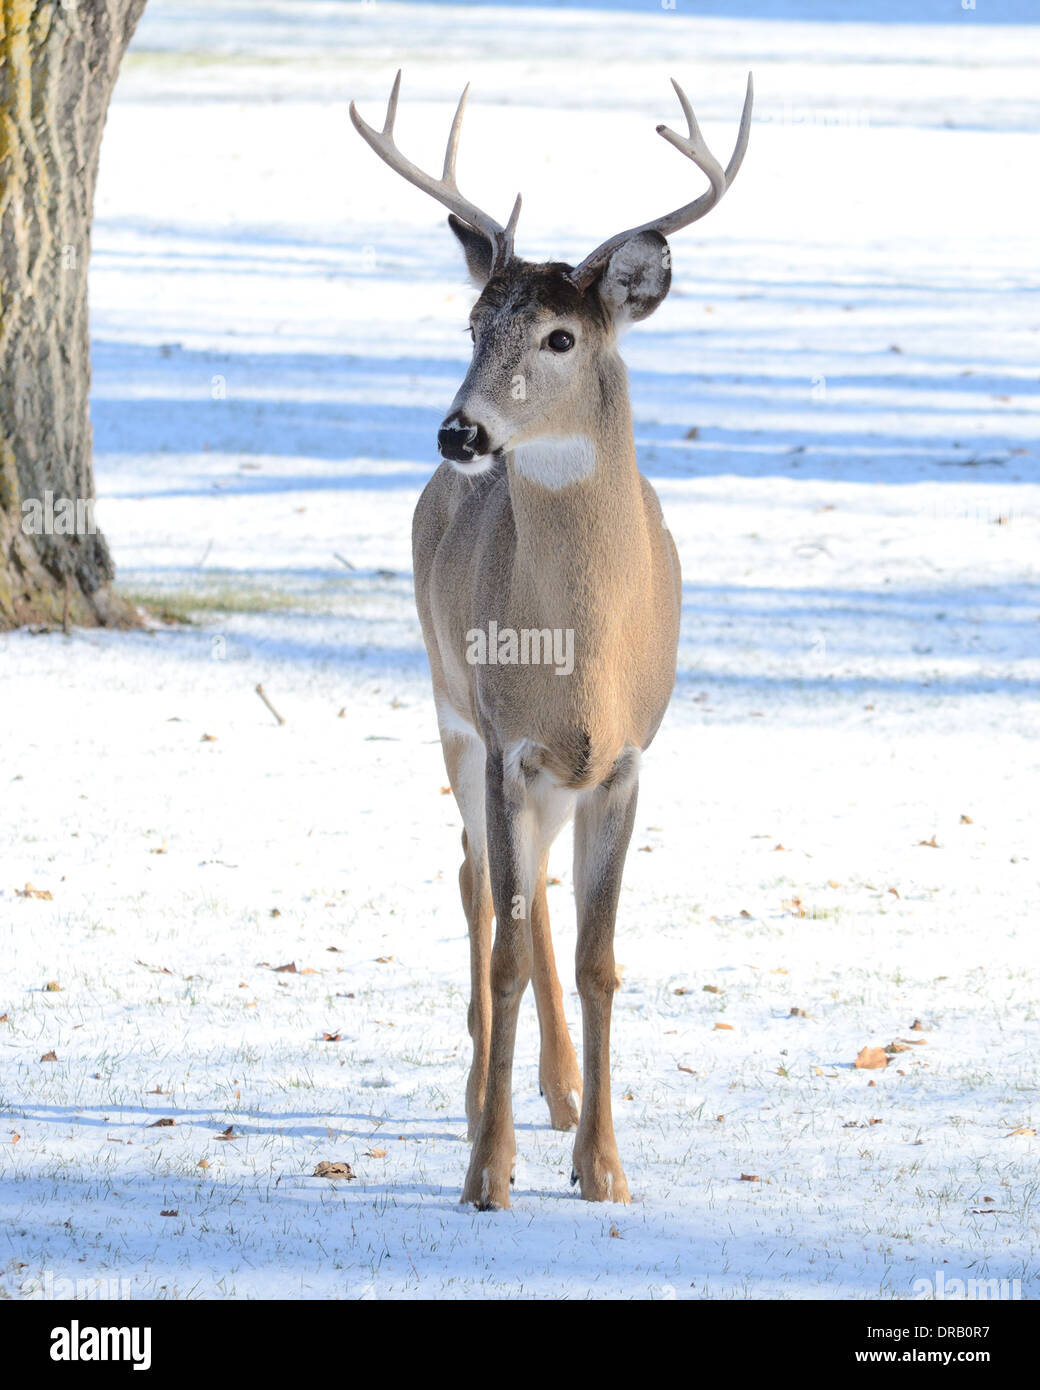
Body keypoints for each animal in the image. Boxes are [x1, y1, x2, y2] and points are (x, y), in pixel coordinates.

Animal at [350, 71, 752, 1209]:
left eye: (560, 338)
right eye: (472, 321)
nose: (460, 430)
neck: (579, 662)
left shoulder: (623, 758)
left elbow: (596, 956)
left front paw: (603, 1164)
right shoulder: (503, 742)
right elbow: (511, 948)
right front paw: (489, 1170)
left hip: (555, 780)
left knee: (537, 907)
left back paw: (564, 1093)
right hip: (450, 710)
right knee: (481, 890)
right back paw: (484, 1098)